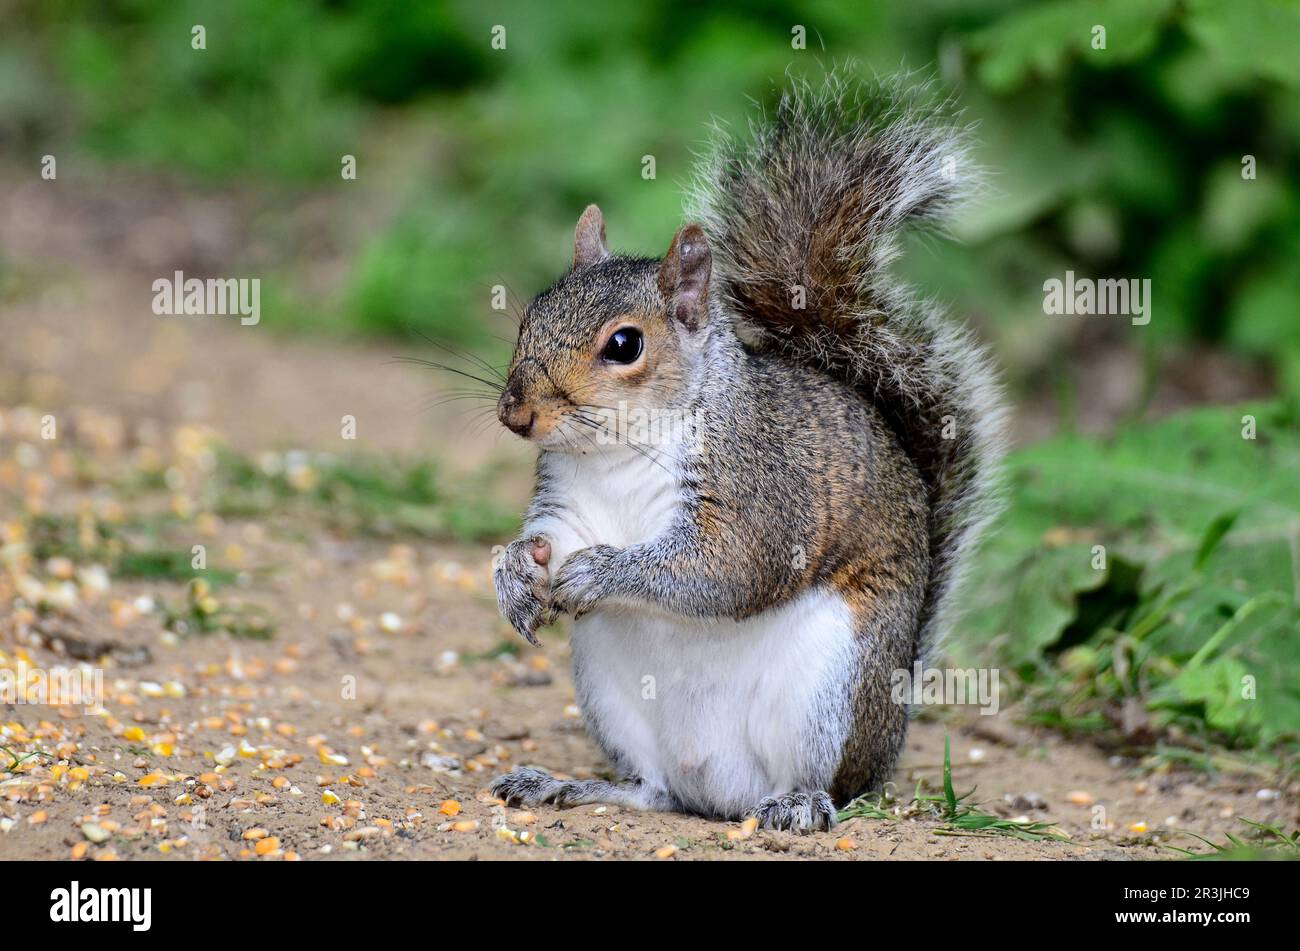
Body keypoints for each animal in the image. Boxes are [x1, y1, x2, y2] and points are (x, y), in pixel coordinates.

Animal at [488, 70, 1006, 832]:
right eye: (530, 313)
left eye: (624, 345)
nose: (515, 414)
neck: (616, 450)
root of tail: (722, 796)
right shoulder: (567, 497)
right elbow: (547, 535)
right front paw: (516, 573)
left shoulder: (759, 488)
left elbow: (728, 569)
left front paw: (600, 572)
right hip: (611, 694)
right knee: (653, 789)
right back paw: (568, 785)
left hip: (829, 686)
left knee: (822, 780)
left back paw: (797, 803)